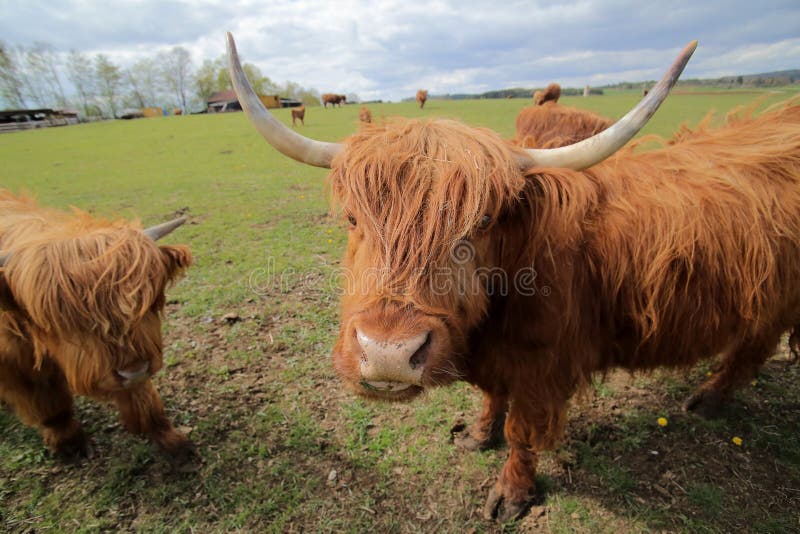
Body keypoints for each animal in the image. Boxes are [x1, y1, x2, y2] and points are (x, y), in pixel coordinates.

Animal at [0, 191, 194, 463]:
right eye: (63, 319)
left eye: (142, 303)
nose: (133, 370)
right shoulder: (17, 368)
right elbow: (50, 406)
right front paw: (69, 443)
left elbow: (143, 399)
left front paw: (174, 443)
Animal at [229, 35, 800, 522]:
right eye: (352, 218)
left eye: (481, 222)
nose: (389, 353)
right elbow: (490, 399)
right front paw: (478, 436)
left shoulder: (541, 366)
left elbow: (522, 431)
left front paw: (511, 494)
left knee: (754, 345)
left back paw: (706, 400)